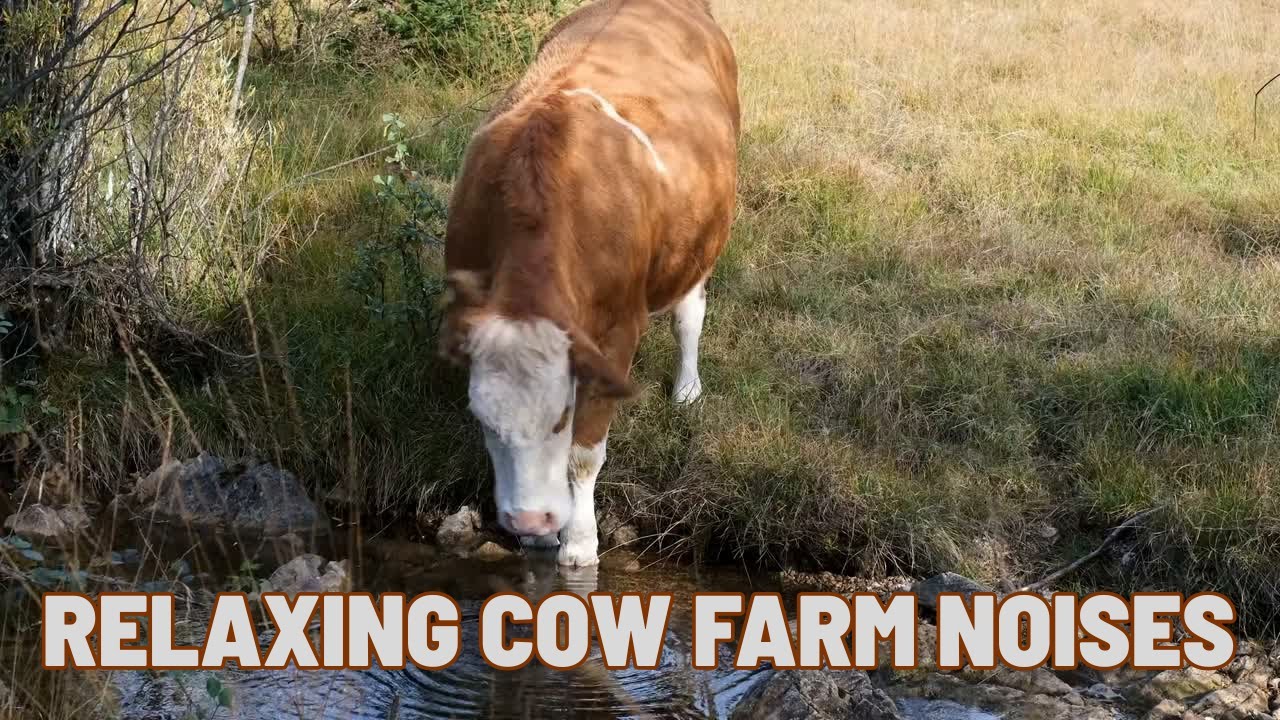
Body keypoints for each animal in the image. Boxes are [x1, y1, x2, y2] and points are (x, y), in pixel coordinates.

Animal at [440, 0, 739, 567]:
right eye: (484, 423)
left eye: (561, 416)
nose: (528, 519)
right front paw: (538, 540)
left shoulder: (617, 334)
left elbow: (583, 456)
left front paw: (579, 541)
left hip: (704, 240)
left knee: (690, 312)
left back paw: (687, 388)